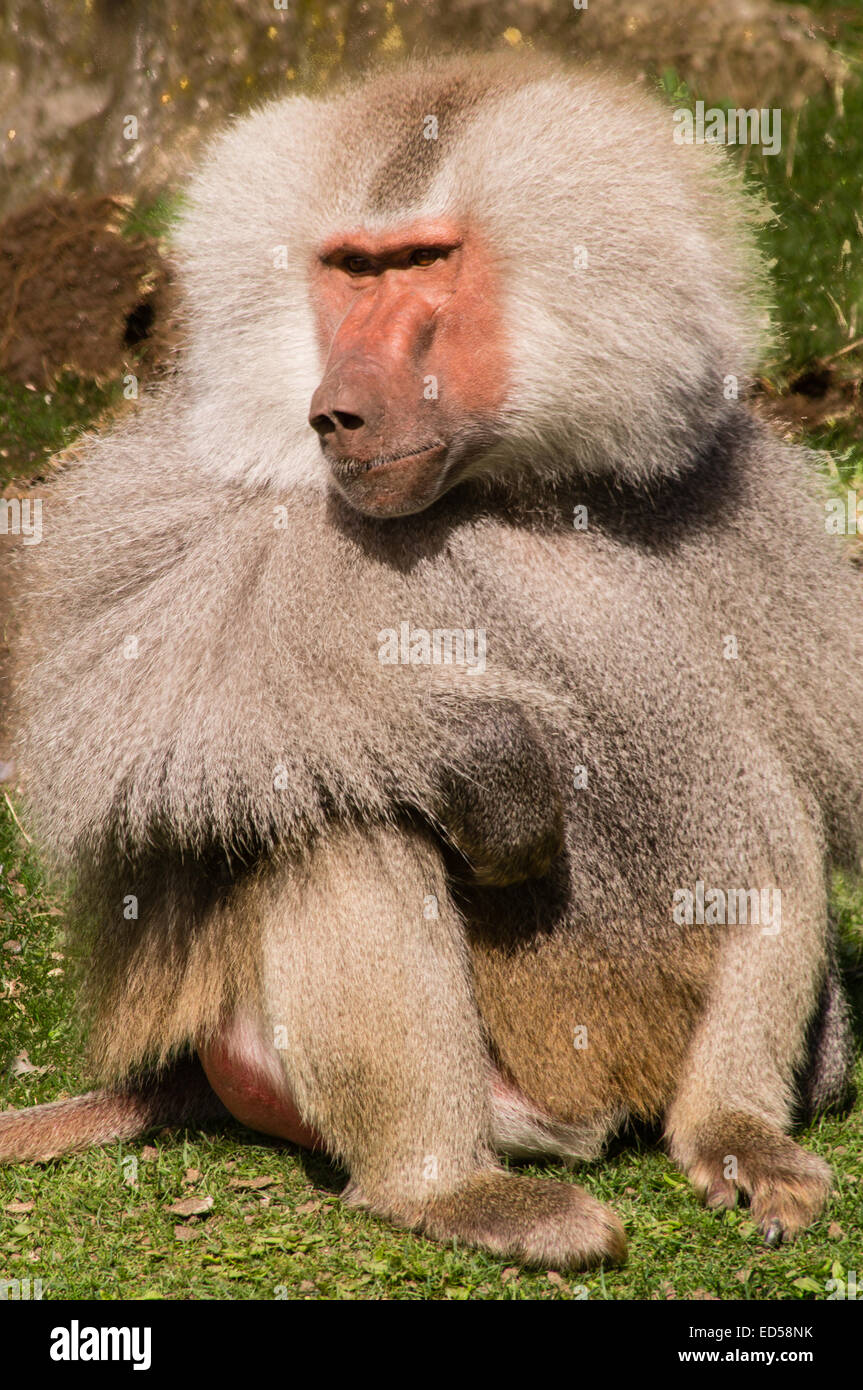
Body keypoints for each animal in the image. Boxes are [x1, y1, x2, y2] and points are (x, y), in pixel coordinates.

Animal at [0, 53, 861, 1271]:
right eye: (349, 269)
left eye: (422, 262)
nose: (338, 412)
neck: (503, 493)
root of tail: (603, 1102)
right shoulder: (175, 502)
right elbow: (145, 743)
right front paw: (491, 764)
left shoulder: (745, 516)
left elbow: (787, 814)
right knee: (329, 814)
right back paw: (451, 1189)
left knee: (760, 814)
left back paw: (733, 1129)